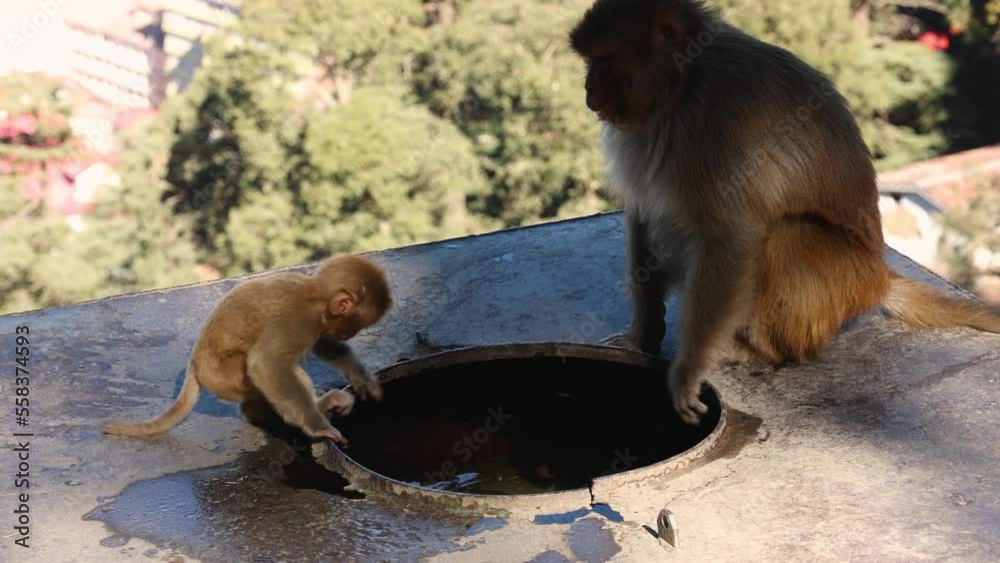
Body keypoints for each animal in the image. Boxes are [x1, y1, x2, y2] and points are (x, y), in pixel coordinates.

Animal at [102, 255, 392, 446]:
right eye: (358, 326)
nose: (350, 334)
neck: (317, 295)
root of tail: (194, 363)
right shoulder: (299, 318)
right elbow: (266, 363)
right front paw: (318, 427)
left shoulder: (315, 323)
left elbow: (323, 343)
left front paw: (360, 377)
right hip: (224, 377)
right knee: (276, 372)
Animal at [569, 0, 1000, 424]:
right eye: (590, 61)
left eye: (604, 59)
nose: (588, 88)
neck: (681, 86)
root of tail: (876, 279)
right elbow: (644, 214)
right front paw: (643, 335)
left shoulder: (717, 126)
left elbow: (731, 236)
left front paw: (687, 373)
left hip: (837, 285)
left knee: (783, 236)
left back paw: (757, 350)